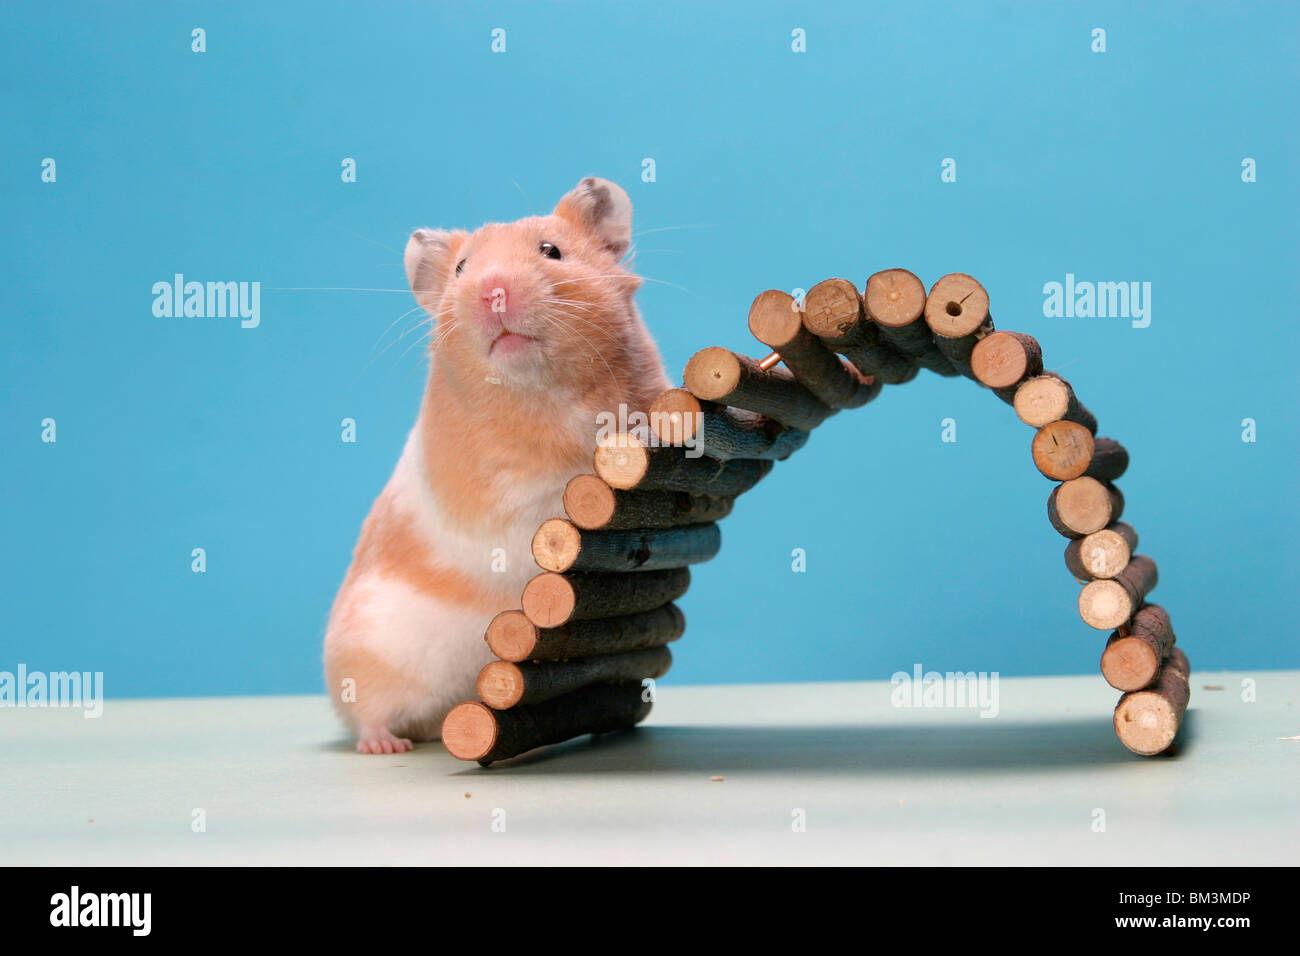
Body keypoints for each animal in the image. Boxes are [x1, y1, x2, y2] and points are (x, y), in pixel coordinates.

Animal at [324, 178, 672, 753]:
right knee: (365, 715)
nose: (494, 293)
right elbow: (554, 495)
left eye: (552, 251)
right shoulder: (505, 499)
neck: (543, 394)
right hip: (363, 659)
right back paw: (385, 744)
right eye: (462, 268)